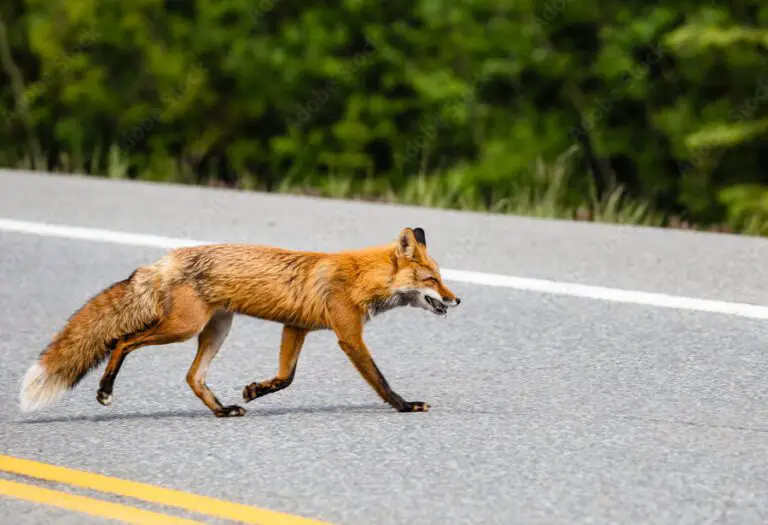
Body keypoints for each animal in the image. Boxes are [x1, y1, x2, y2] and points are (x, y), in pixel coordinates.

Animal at [19, 227, 461, 417]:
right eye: (432, 280)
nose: (457, 300)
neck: (358, 279)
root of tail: (167, 258)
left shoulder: (296, 327)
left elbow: (285, 377)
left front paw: (254, 391)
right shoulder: (348, 336)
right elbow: (380, 381)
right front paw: (405, 405)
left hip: (217, 329)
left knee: (192, 377)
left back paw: (222, 410)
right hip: (182, 328)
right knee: (121, 342)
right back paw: (105, 390)